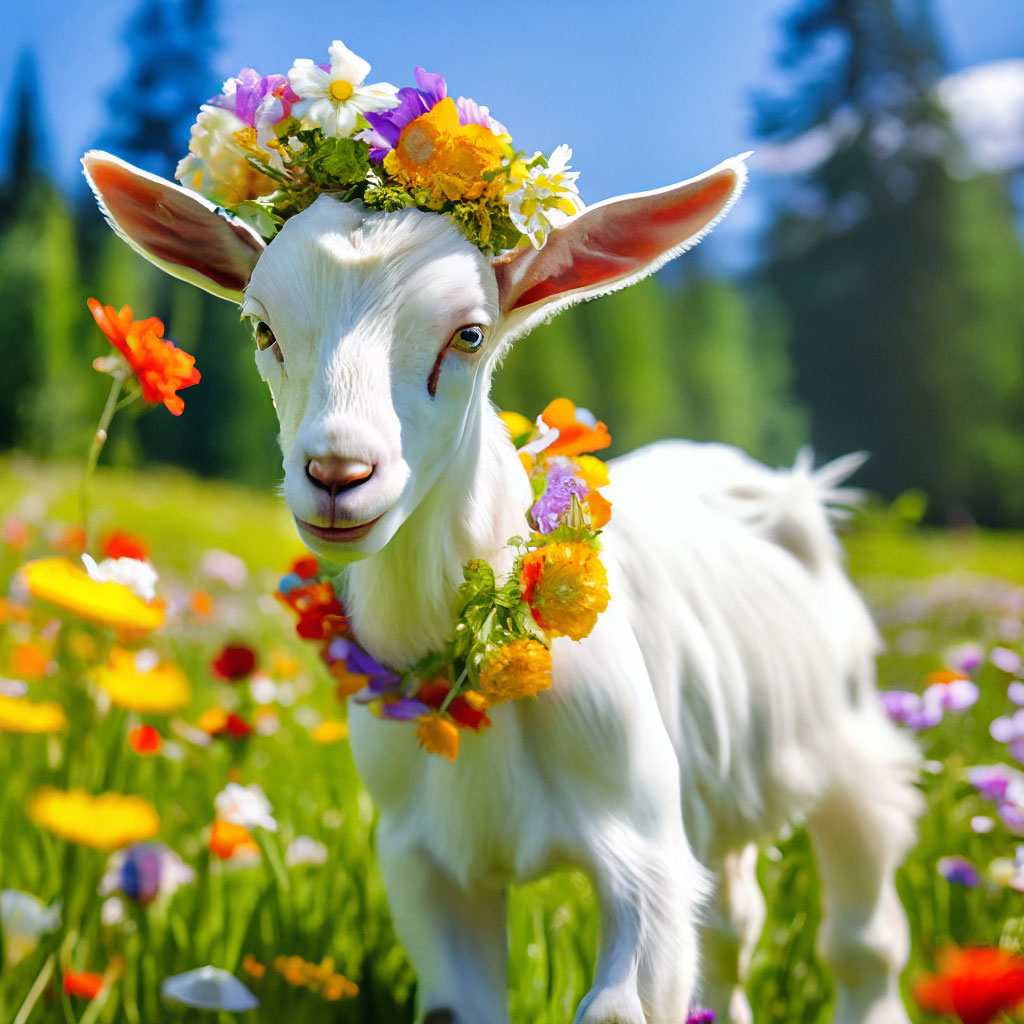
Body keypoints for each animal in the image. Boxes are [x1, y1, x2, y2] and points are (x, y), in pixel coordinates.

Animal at [82, 148, 920, 1024]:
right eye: (261, 327)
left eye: (470, 334)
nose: (338, 473)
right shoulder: (422, 867)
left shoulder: (647, 860)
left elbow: (619, 1006)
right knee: (731, 927)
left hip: (853, 749)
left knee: (862, 938)